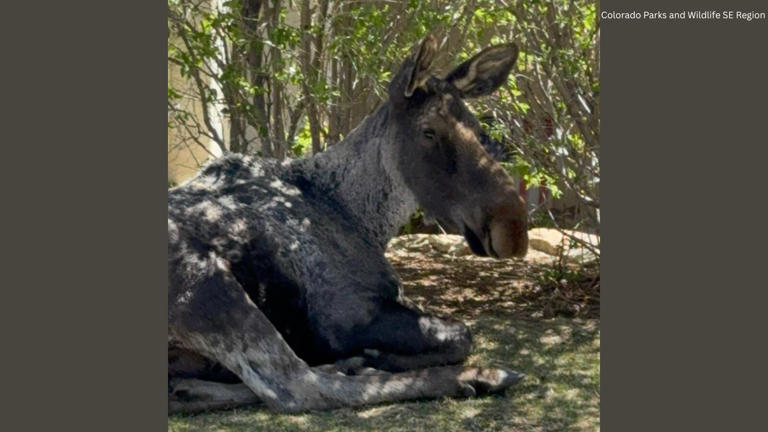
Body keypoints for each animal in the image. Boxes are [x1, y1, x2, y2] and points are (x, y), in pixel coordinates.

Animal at [168, 35, 528, 414]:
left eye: (476, 128)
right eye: (429, 131)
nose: (512, 226)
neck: (365, 221)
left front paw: (371, 357)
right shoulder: (347, 317)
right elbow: (463, 335)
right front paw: (379, 356)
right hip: (212, 286)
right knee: (297, 388)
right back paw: (478, 376)